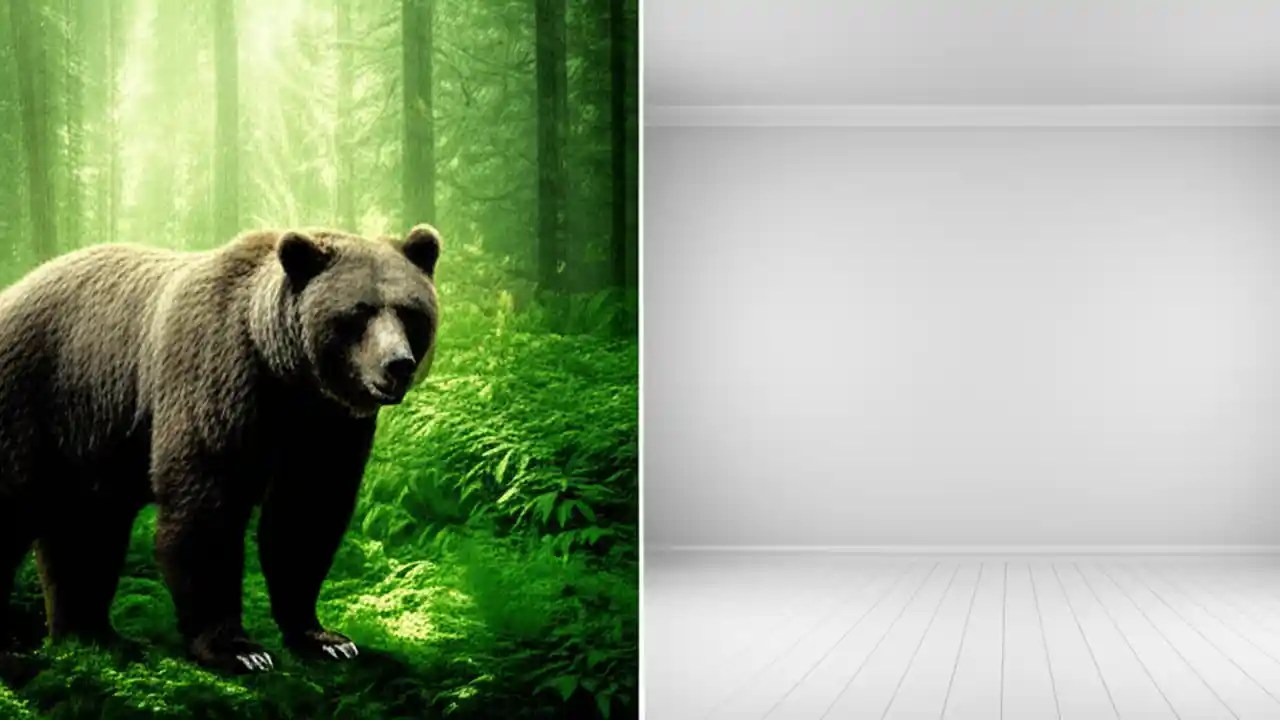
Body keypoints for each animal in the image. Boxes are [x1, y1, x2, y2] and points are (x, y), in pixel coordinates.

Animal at [0, 225, 441, 673]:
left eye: (410, 312)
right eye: (358, 312)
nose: (397, 364)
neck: (285, 375)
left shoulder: (325, 426)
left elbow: (305, 516)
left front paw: (324, 638)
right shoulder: (215, 378)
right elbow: (206, 510)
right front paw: (239, 648)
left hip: (88, 443)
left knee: (84, 532)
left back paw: (93, 637)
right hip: (36, 398)